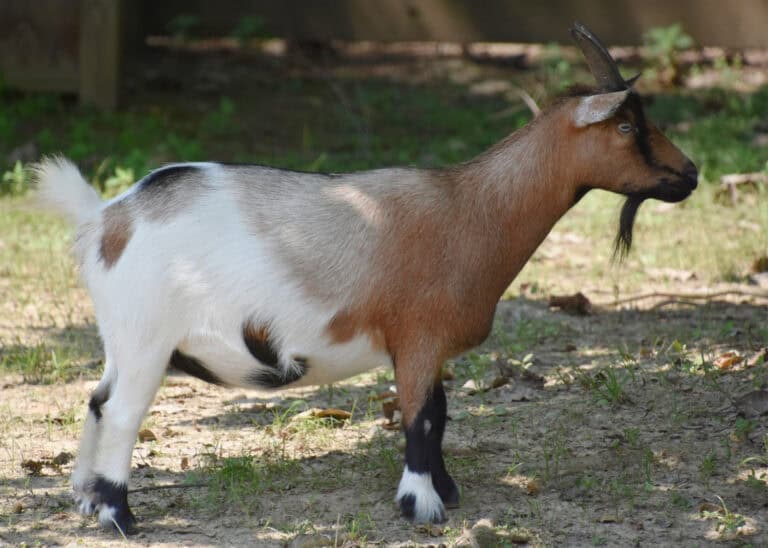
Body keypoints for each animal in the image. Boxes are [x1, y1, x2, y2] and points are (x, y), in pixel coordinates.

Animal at [35, 23, 697, 534]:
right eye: (626, 127)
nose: (690, 174)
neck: (472, 208)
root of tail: (107, 218)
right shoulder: (419, 339)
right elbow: (421, 416)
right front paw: (422, 506)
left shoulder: (425, 349)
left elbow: (440, 413)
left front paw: (446, 491)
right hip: (148, 336)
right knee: (123, 412)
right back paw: (119, 517)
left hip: (123, 338)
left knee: (96, 401)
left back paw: (85, 499)